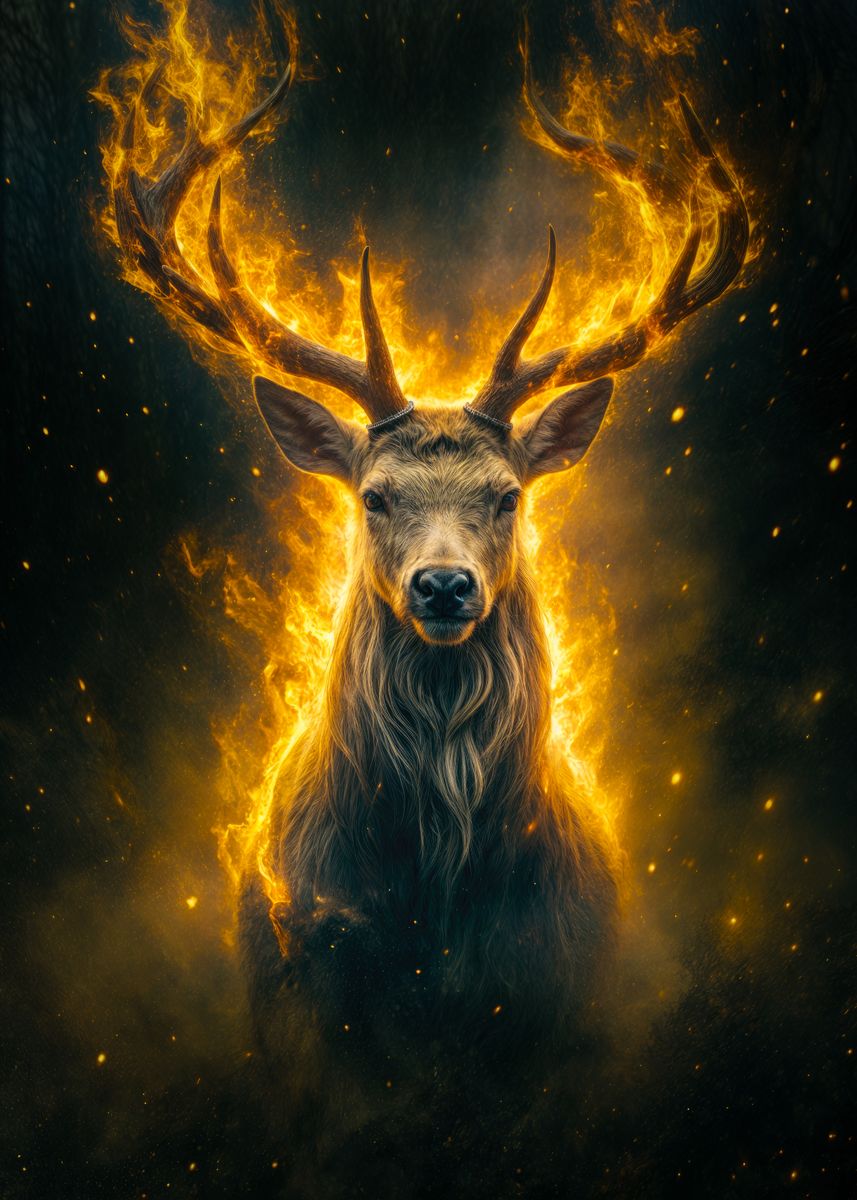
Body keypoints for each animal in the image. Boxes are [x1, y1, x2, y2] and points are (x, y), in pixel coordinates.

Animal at [110, 26, 748, 1103]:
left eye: (508, 495)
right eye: (373, 496)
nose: (444, 586)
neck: (435, 909)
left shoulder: (556, 986)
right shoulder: (298, 978)